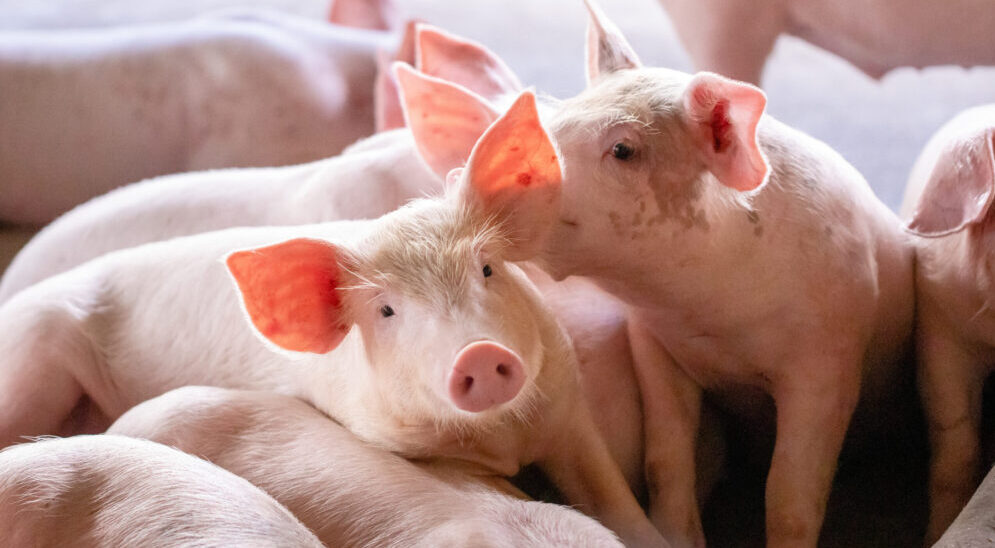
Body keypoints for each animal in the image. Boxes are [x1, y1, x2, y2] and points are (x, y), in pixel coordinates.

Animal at [472, 2, 914, 546]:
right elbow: (666, 460)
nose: (481, 166)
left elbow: (790, 494)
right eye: (555, 118)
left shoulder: (830, 362)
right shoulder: (654, 344)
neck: (716, 324)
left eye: (623, 150)